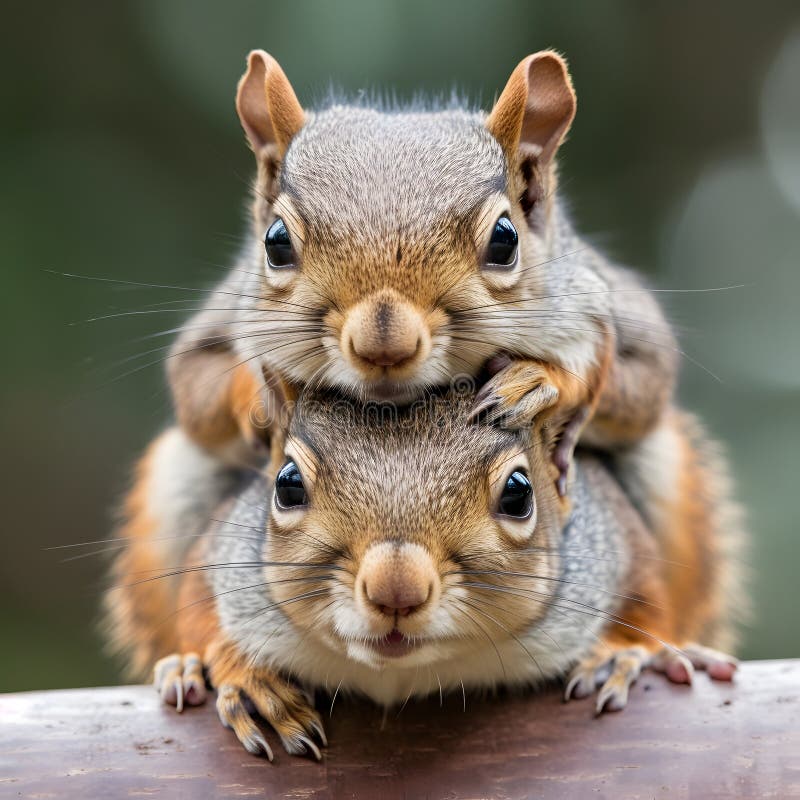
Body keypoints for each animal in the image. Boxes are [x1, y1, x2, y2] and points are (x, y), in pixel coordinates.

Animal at [104, 376, 745, 760]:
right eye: (286, 485)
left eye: (519, 493)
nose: (396, 589)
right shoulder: (225, 550)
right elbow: (197, 600)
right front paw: (244, 675)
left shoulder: (609, 539)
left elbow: (645, 594)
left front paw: (623, 653)